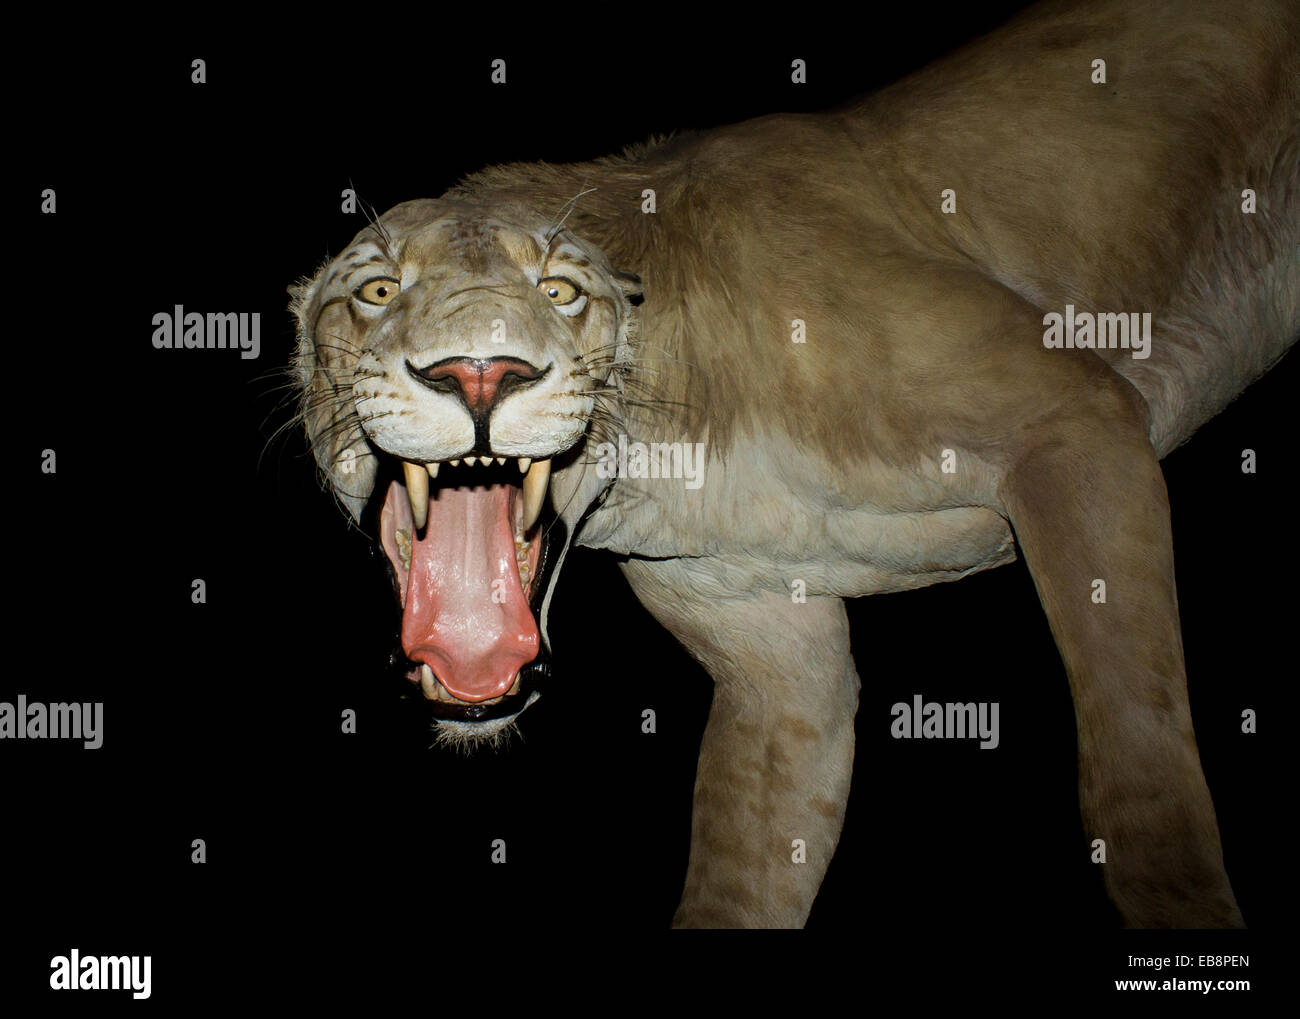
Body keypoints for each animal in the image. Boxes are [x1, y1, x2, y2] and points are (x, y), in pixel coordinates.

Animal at [289, 0, 1299, 927]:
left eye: (560, 292)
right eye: (375, 290)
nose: (479, 372)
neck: (675, 456)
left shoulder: (1076, 420)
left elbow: (1139, 779)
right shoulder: (773, 660)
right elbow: (737, 880)